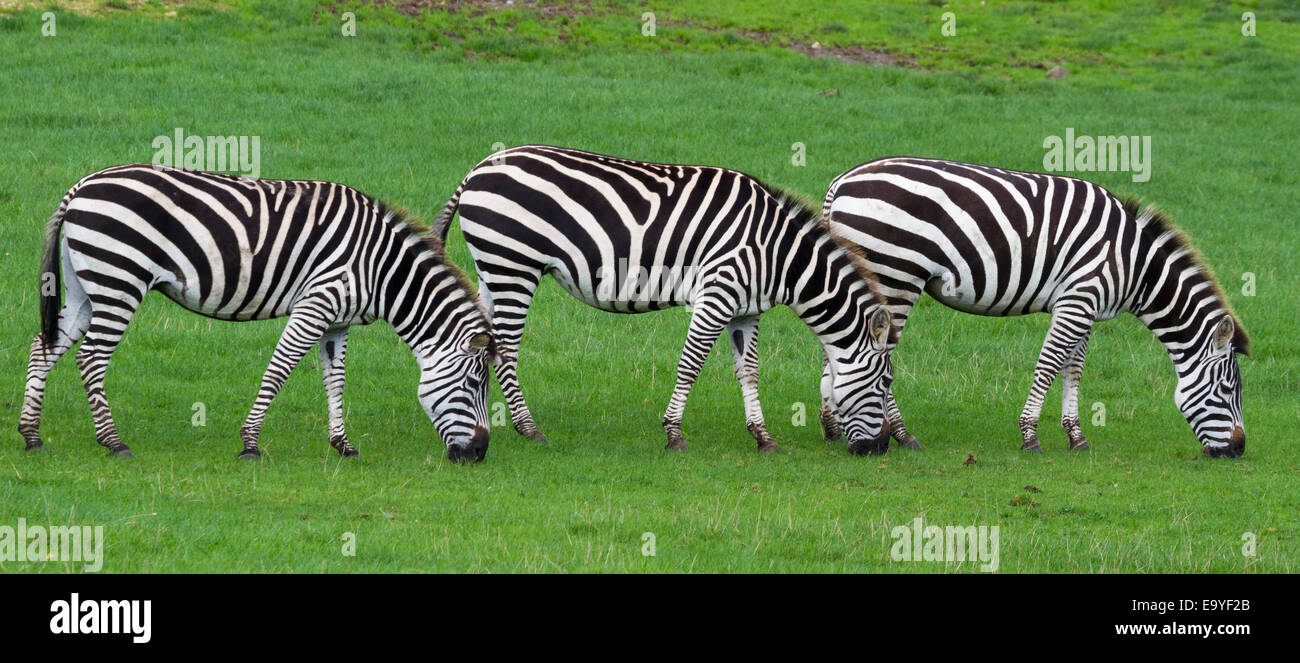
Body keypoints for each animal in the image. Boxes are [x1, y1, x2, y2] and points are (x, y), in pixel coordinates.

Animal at [20, 164, 494, 462]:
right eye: (474, 384)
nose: (479, 454)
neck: (379, 266)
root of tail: (82, 185)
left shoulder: (337, 321)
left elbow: (335, 379)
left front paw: (342, 445)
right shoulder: (316, 303)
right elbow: (279, 370)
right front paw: (250, 444)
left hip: (86, 287)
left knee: (44, 346)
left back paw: (31, 436)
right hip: (119, 280)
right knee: (90, 358)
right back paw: (113, 442)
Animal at [431, 145, 896, 455]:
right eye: (884, 383)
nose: (879, 449)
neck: (777, 251)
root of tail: (478, 168)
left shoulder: (746, 310)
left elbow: (748, 371)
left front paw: (762, 436)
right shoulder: (717, 294)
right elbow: (691, 365)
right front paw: (673, 433)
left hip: (492, 270)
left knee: (484, 344)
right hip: (513, 265)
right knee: (506, 349)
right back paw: (528, 429)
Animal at [820, 156, 1250, 457]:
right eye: (1228, 389)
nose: (1239, 449)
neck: (1136, 265)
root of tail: (841, 181)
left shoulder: (1084, 306)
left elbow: (1073, 370)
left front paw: (1076, 436)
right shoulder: (1078, 300)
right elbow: (1048, 365)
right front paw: (1029, 436)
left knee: (837, 347)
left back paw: (834, 427)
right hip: (894, 275)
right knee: (874, 354)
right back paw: (900, 434)